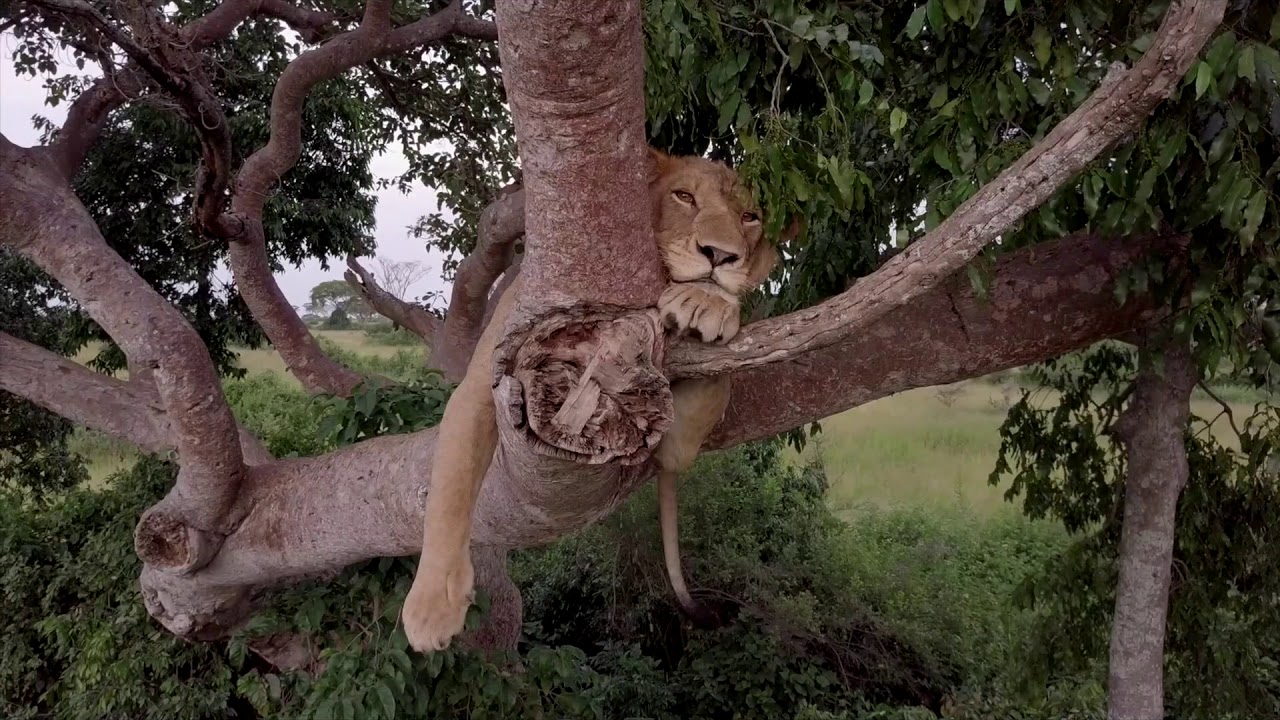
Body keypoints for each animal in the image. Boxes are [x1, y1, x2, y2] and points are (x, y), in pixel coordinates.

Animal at [402, 146, 796, 652]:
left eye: (751, 217)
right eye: (684, 197)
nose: (720, 255)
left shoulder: (678, 438)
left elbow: (707, 396)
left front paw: (708, 304)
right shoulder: (476, 391)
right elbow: (449, 491)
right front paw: (432, 606)